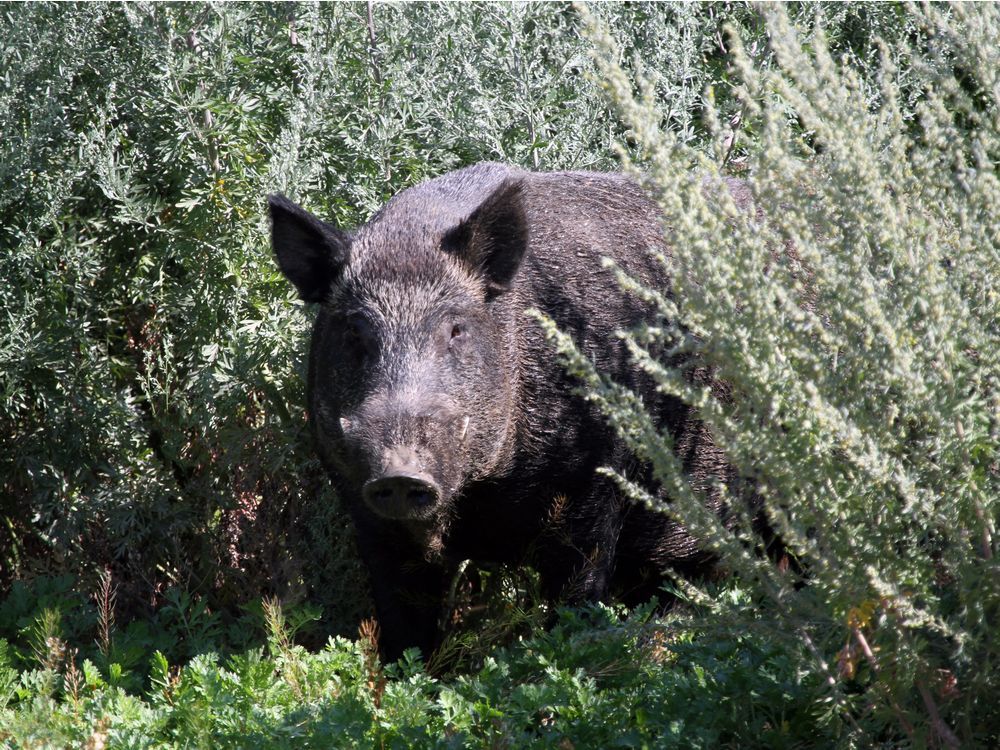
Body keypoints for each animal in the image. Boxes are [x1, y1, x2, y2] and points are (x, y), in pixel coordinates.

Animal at [269, 162, 730, 661]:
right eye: (354, 333)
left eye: (455, 329)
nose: (402, 473)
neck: (479, 501)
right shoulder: (363, 506)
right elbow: (404, 621)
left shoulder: (594, 483)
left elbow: (577, 599)